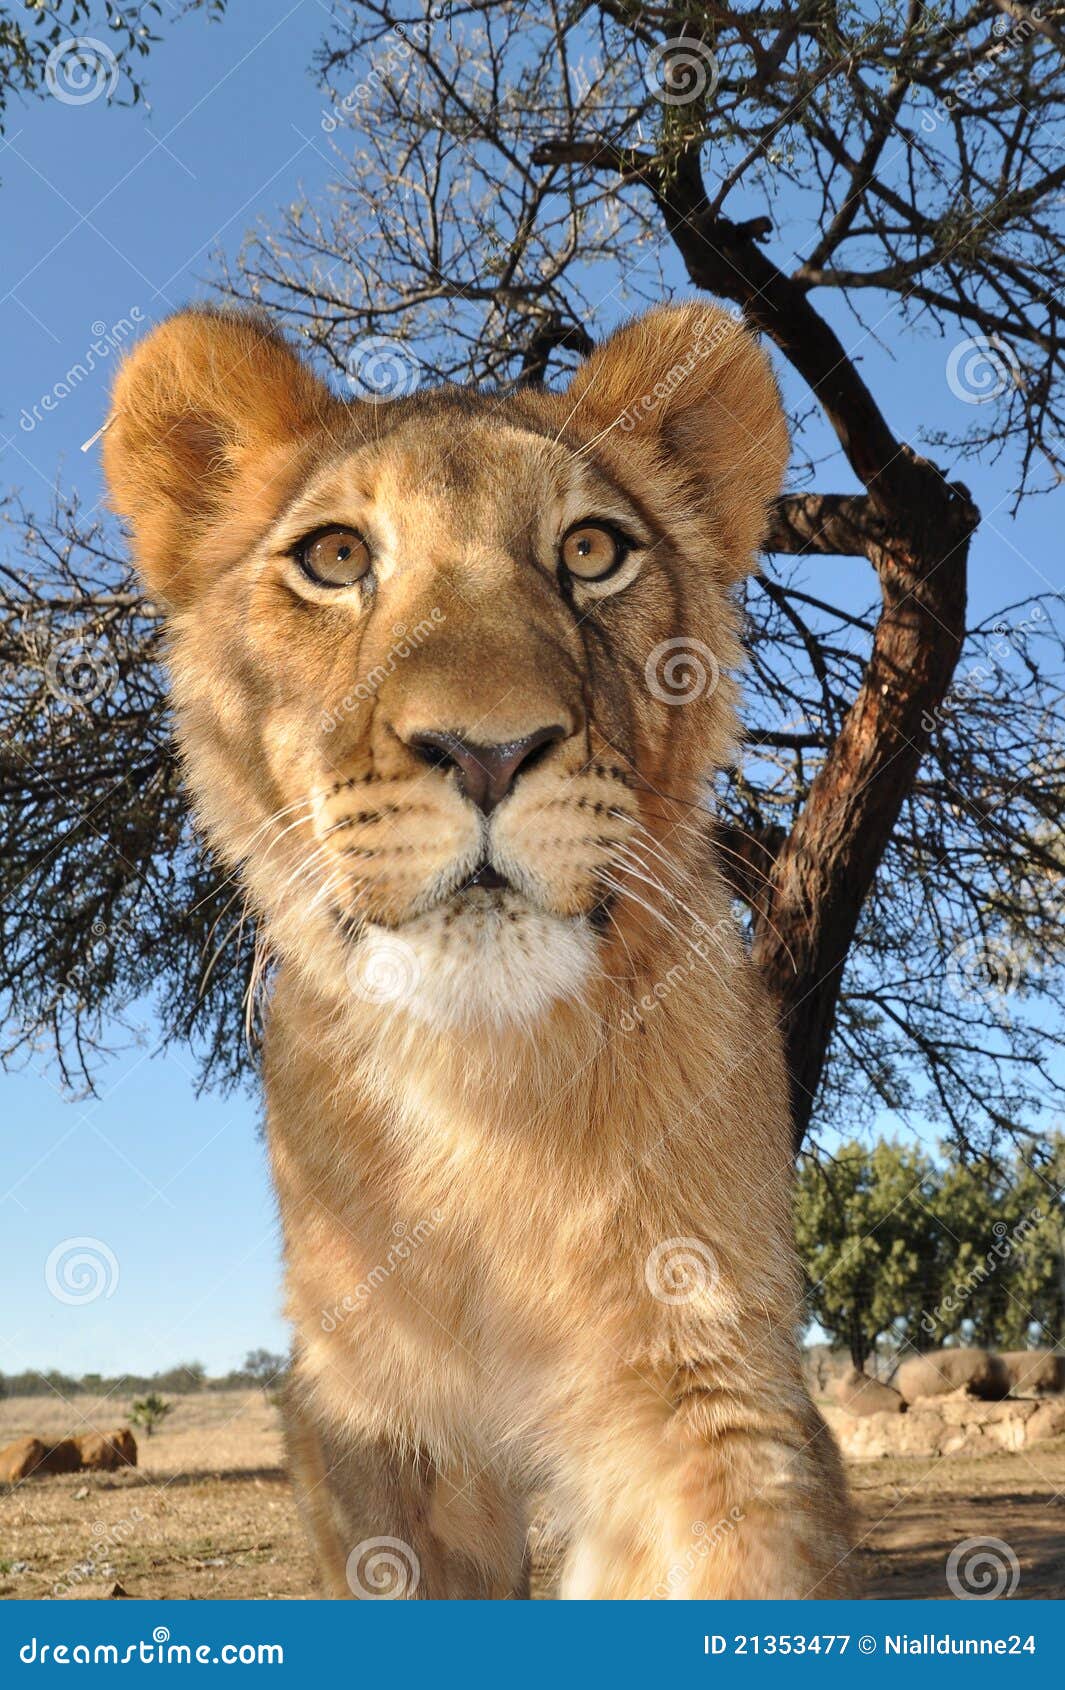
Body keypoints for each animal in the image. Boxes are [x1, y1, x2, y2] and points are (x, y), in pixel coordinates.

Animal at [102, 300, 854, 1600]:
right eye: (336, 558)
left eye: (593, 551)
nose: (489, 749)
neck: (487, 1088)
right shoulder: (361, 1405)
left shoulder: (722, 1393)